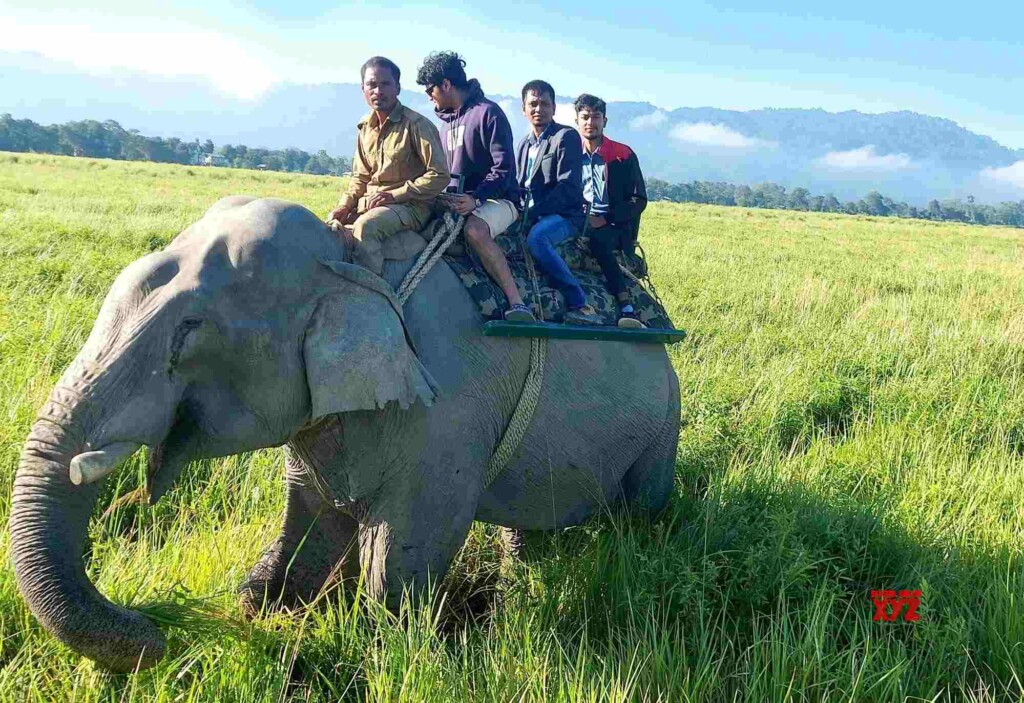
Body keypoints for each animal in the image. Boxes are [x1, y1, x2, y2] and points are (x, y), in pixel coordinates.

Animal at [9, 196, 681, 672]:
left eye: (187, 337)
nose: (159, 630)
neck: (348, 266)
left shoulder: (447, 412)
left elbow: (398, 562)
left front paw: (391, 650)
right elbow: (309, 523)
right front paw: (260, 613)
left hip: (662, 429)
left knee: (644, 513)